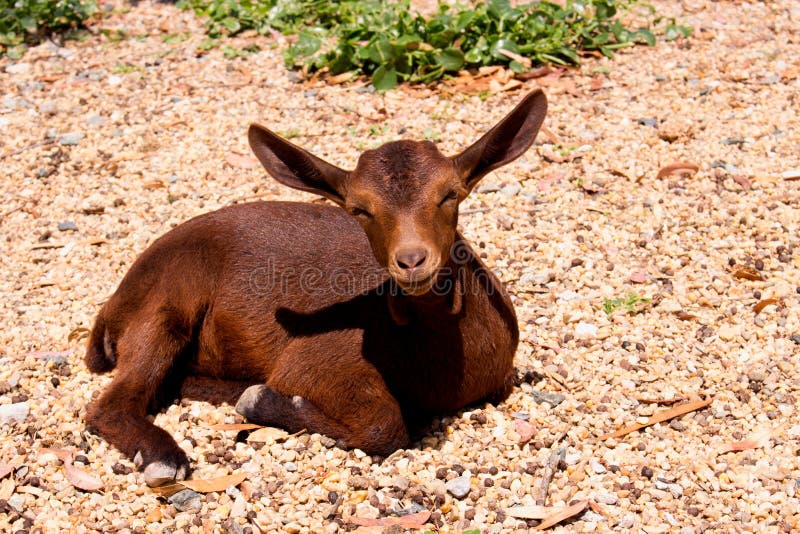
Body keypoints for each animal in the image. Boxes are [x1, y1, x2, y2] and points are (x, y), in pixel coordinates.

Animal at [84, 90, 548, 486]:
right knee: (113, 400)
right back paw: (165, 455)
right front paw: (267, 402)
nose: (412, 261)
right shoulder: (321, 358)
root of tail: (113, 305)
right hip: (169, 293)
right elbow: (384, 425)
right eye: (359, 209)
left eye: (450, 195)